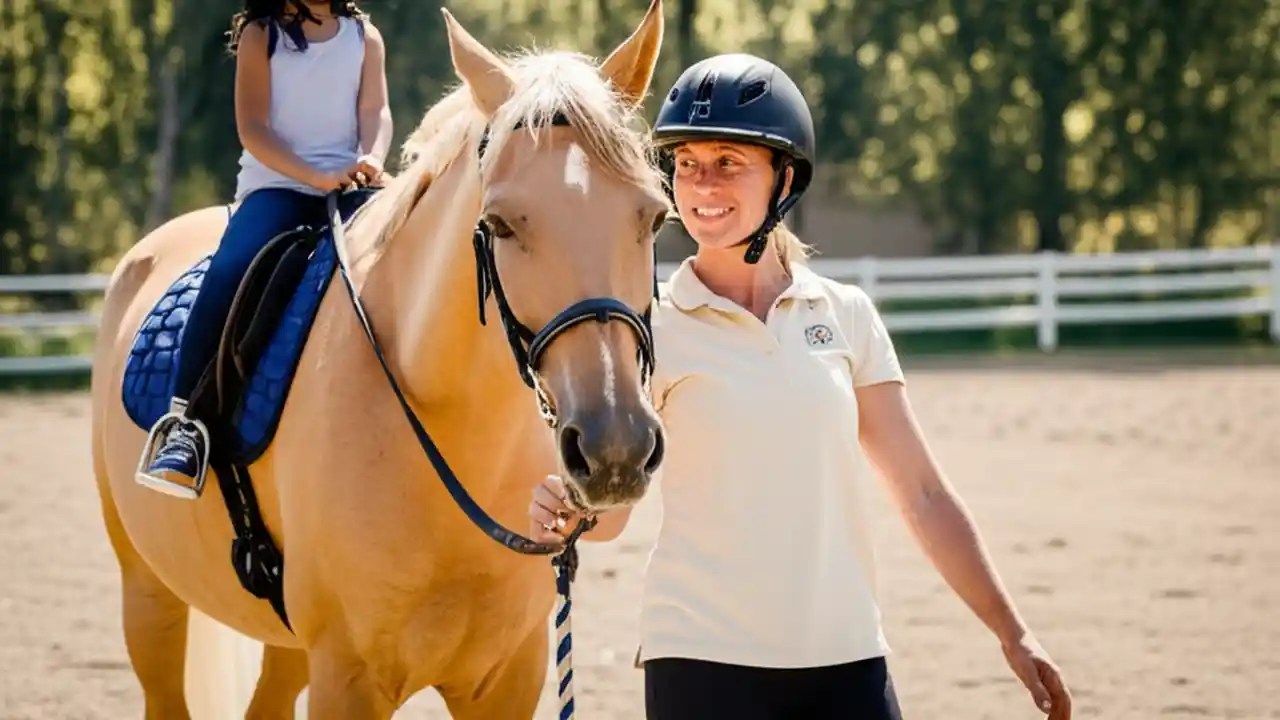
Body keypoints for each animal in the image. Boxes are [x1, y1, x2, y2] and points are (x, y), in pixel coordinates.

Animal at [88, 2, 668, 717]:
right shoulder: (348, 677)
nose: (616, 450)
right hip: (149, 596)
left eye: (654, 218)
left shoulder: (509, 675)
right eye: (500, 225)